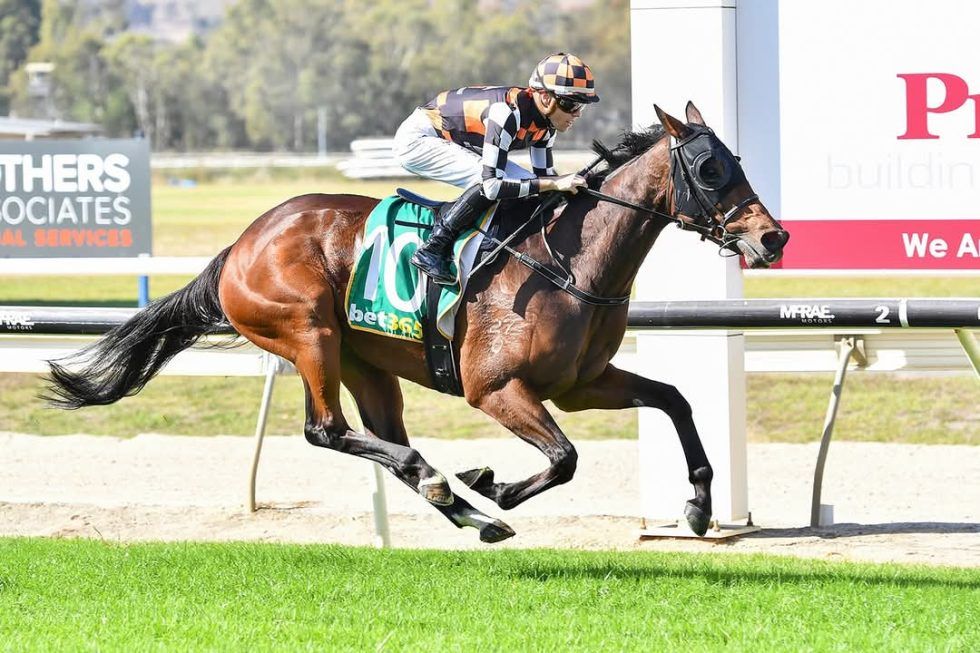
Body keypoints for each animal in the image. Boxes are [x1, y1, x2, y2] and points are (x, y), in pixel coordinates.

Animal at [46, 103, 788, 543]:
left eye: (737, 161)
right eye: (709, 168)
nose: (772, 238)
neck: (567, 260)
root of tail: (241, 243)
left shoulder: (582, 383)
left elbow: (675, 399)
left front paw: (698, 507)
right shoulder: (494, 388)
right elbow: (565, 457)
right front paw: (498, 485)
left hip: (368, 364)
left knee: (376, 433)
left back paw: (458, 503)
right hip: (308, 333)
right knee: (327, 429)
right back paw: (451, 486)